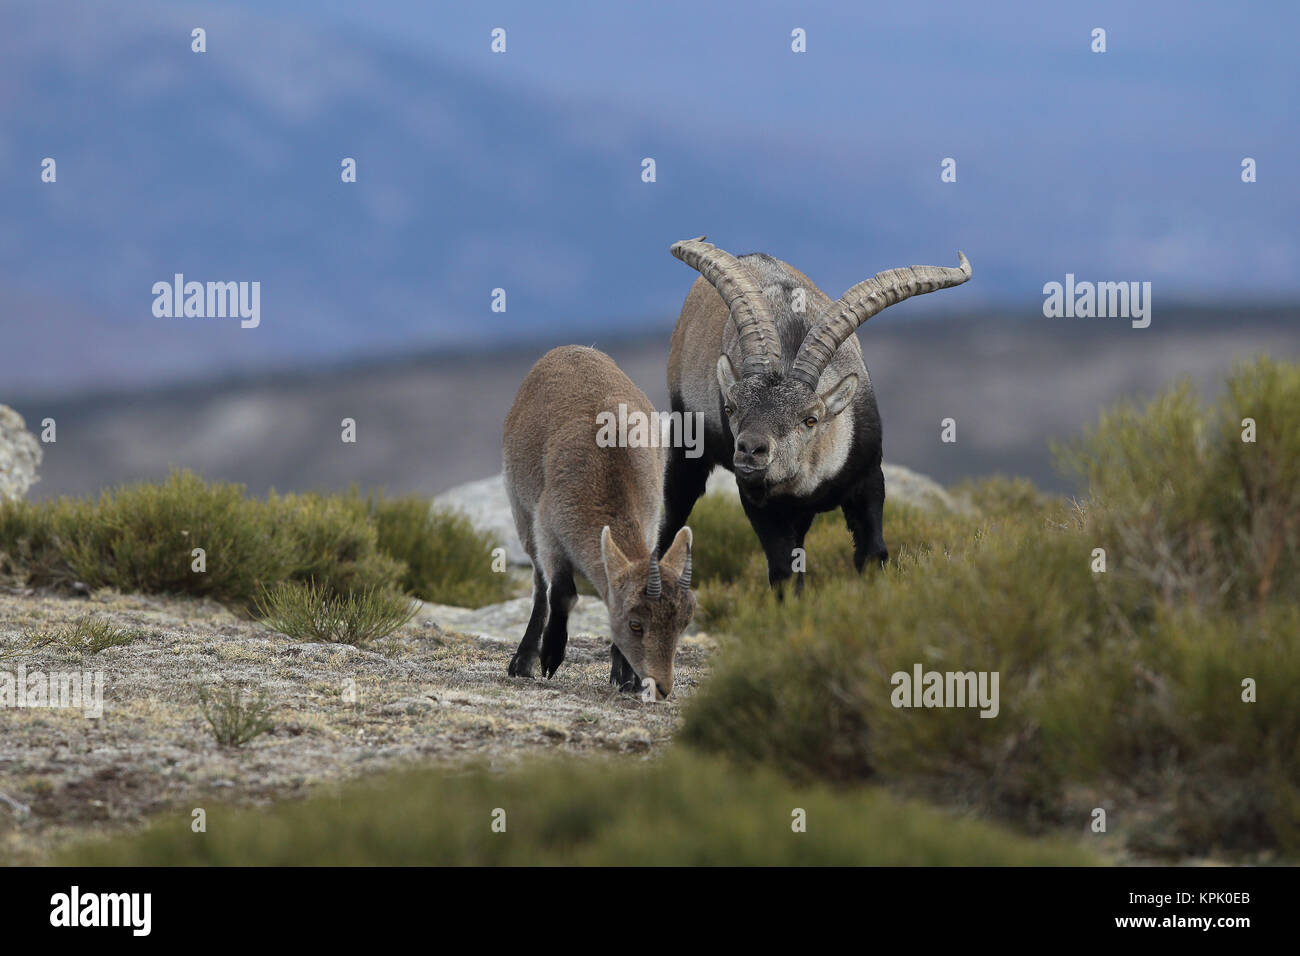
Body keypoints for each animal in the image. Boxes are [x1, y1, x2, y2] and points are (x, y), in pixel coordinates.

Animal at [504, 345, 695, 698]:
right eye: (635, 624)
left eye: (683, 624)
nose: (661, 687)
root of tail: (570, 349)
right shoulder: (548, 529)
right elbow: (561, 592)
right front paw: (550, 657)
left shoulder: (651, 523)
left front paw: (625, 676)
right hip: (520, 510)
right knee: (538, 584)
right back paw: (523, 660)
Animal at [659, 237, 970, 591]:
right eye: (730, 407)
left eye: (810, 418)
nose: (751, 451)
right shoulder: (758, 497)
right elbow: (784, 573)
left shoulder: (868, 479)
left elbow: (872, 553)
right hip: (686, 441)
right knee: (672, 515)